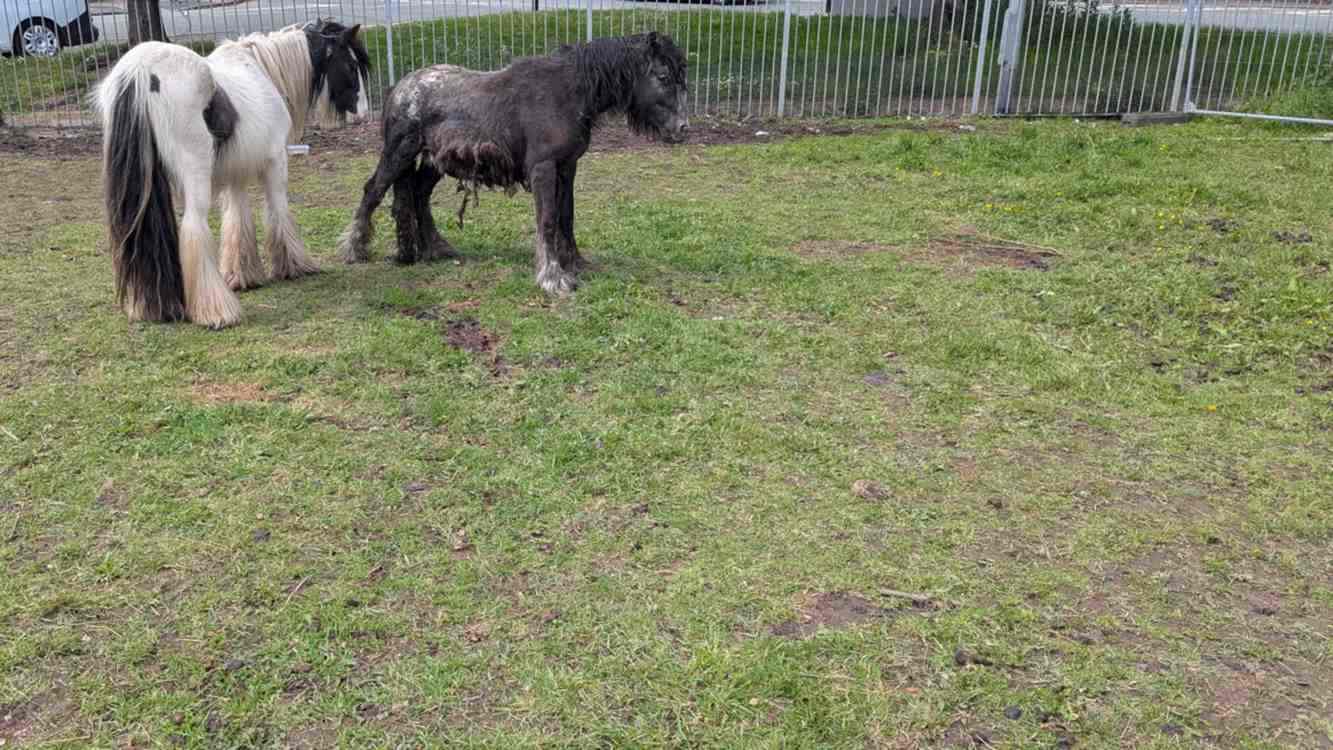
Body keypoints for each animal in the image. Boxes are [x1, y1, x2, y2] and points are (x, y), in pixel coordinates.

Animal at [93, 19, 371, 329]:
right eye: (351, 65)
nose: (363, 114)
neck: (263, 70)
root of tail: (139, 72)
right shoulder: (276, 161)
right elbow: (278, 211)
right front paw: (294, 265)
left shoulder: (235, 174)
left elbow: (237, 220)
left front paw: (242, 276)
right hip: (196, 177)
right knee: (194, 228)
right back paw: (216, 311)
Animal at [336, 31, 689, 295]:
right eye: (663, 76)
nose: (682, 128)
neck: (567, 93)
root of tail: (399, 88)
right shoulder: (543, 168)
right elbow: (547, 220)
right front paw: (552, 277)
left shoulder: (567, 168)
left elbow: (567, 218)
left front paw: (575, 264)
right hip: (399, 152)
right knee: (374, 191)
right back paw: (354, 249)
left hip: (434, 162)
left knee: (417, 196)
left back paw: (434, 248)